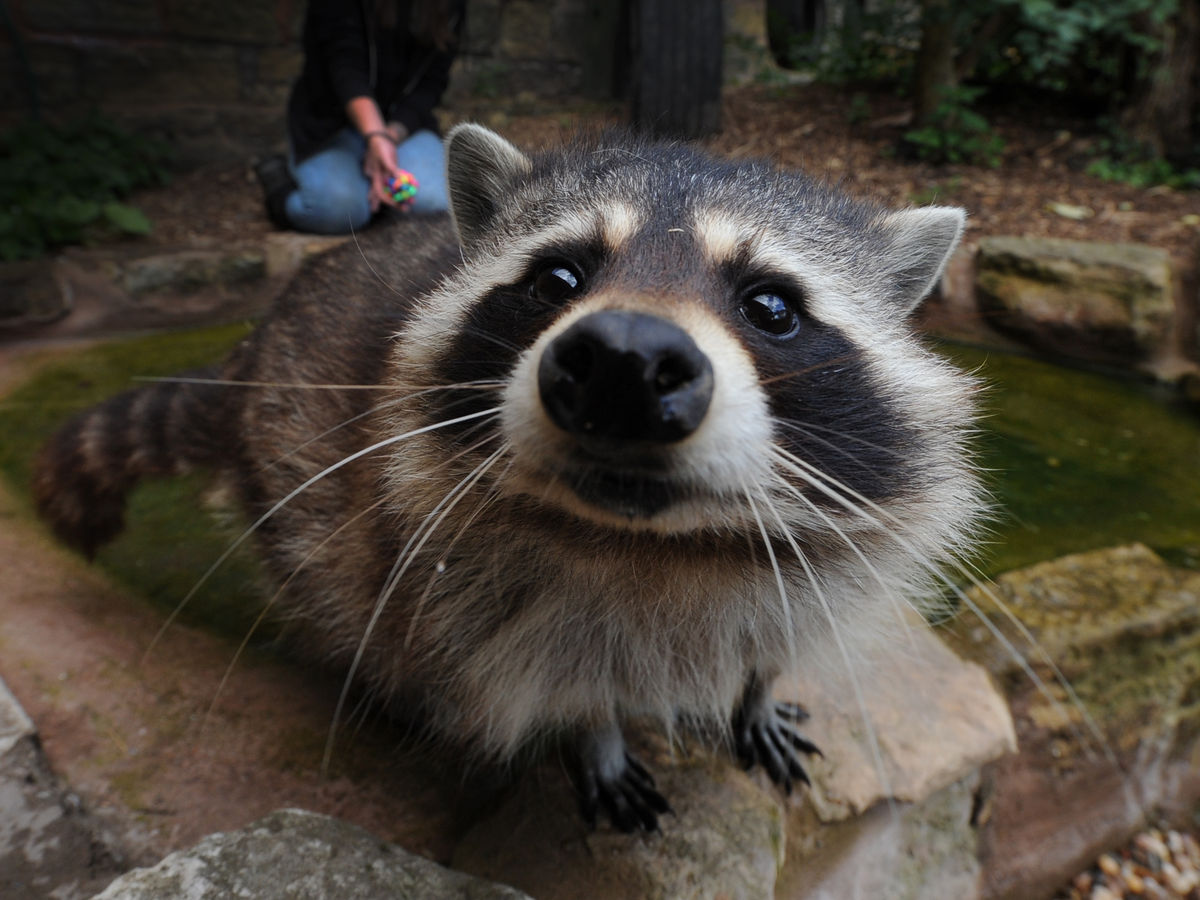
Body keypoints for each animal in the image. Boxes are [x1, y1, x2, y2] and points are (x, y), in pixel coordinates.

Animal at [33, 124, 982, 832]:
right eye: (559, 276)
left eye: (772, 306)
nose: (625, 361)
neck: (654, 539)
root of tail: (255, 341)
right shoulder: (463, 575)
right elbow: (544, 664)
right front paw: (596, 734)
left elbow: (779, 628)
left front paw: (754, 691)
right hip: (295, 470)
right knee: (338, 582)